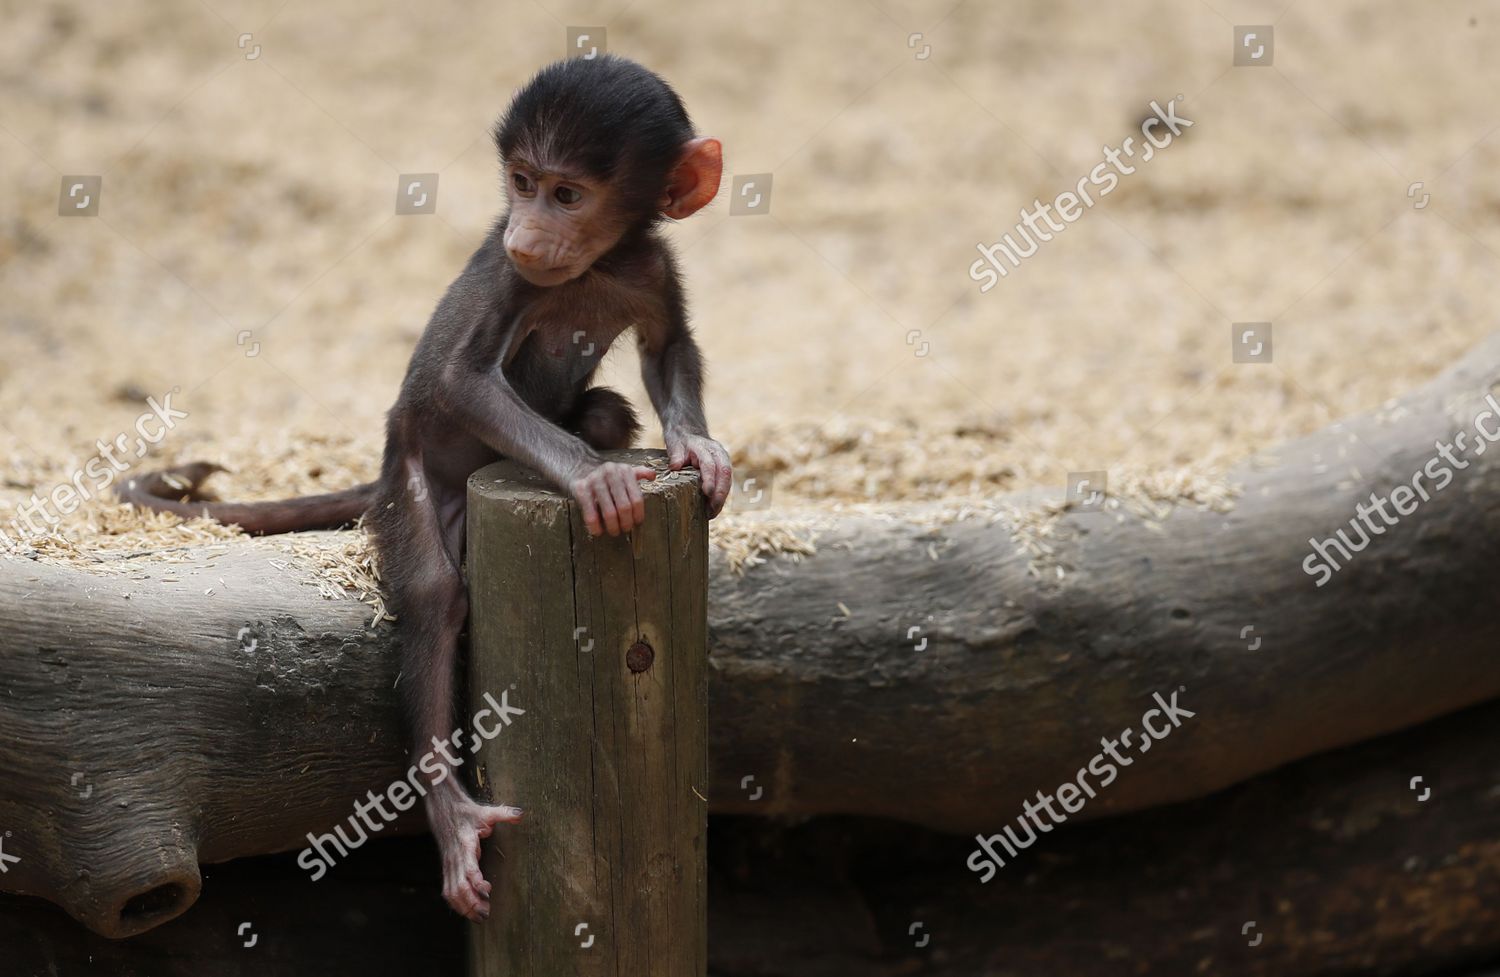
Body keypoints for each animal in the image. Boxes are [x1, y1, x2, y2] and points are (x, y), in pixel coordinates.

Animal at [117, 55, 733, 922]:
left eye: (568, 194)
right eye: (522, 182)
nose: (524, 232)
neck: (600, 265)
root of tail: (384, 474)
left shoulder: (652, 268)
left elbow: (670, 345)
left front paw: (698, 449)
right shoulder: (512, 283)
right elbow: (456, 379)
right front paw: (592, 475)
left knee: (609, 409)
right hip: (408, 481)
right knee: (438, 591)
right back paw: (452, 814)